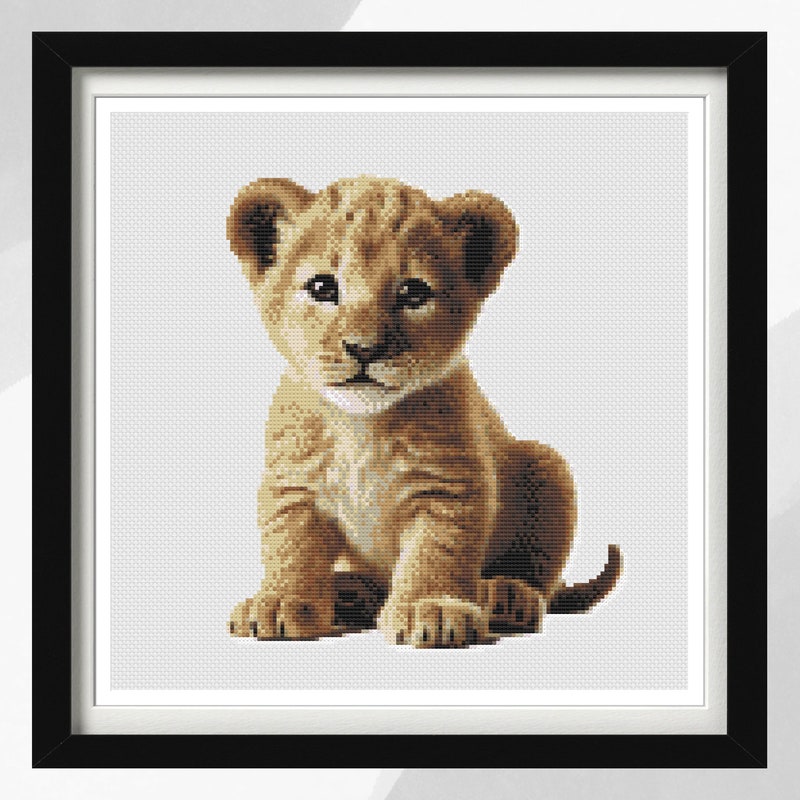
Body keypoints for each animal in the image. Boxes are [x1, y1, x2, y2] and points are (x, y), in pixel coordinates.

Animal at [226, 176, 621, 648]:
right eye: (323, 288)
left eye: (413, 292)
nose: (363, 348)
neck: (361, 425)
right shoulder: (293, 485)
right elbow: (289, 546)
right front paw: (279, 602)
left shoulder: (449, 486)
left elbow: (438, 550)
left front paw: (428, 608)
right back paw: (349, 593)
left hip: (546, 466)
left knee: (537, 577)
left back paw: (506, 596)